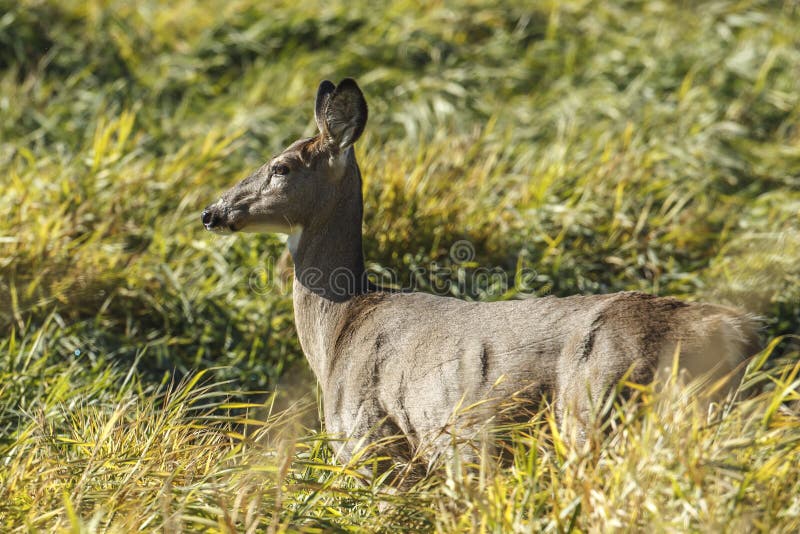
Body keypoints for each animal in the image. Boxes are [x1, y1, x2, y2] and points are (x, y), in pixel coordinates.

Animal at [202, 78, 761, 484]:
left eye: (281, 166)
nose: (212, 211)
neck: (340, 328)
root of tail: (729, 331)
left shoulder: (373, 440)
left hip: (599, 407)